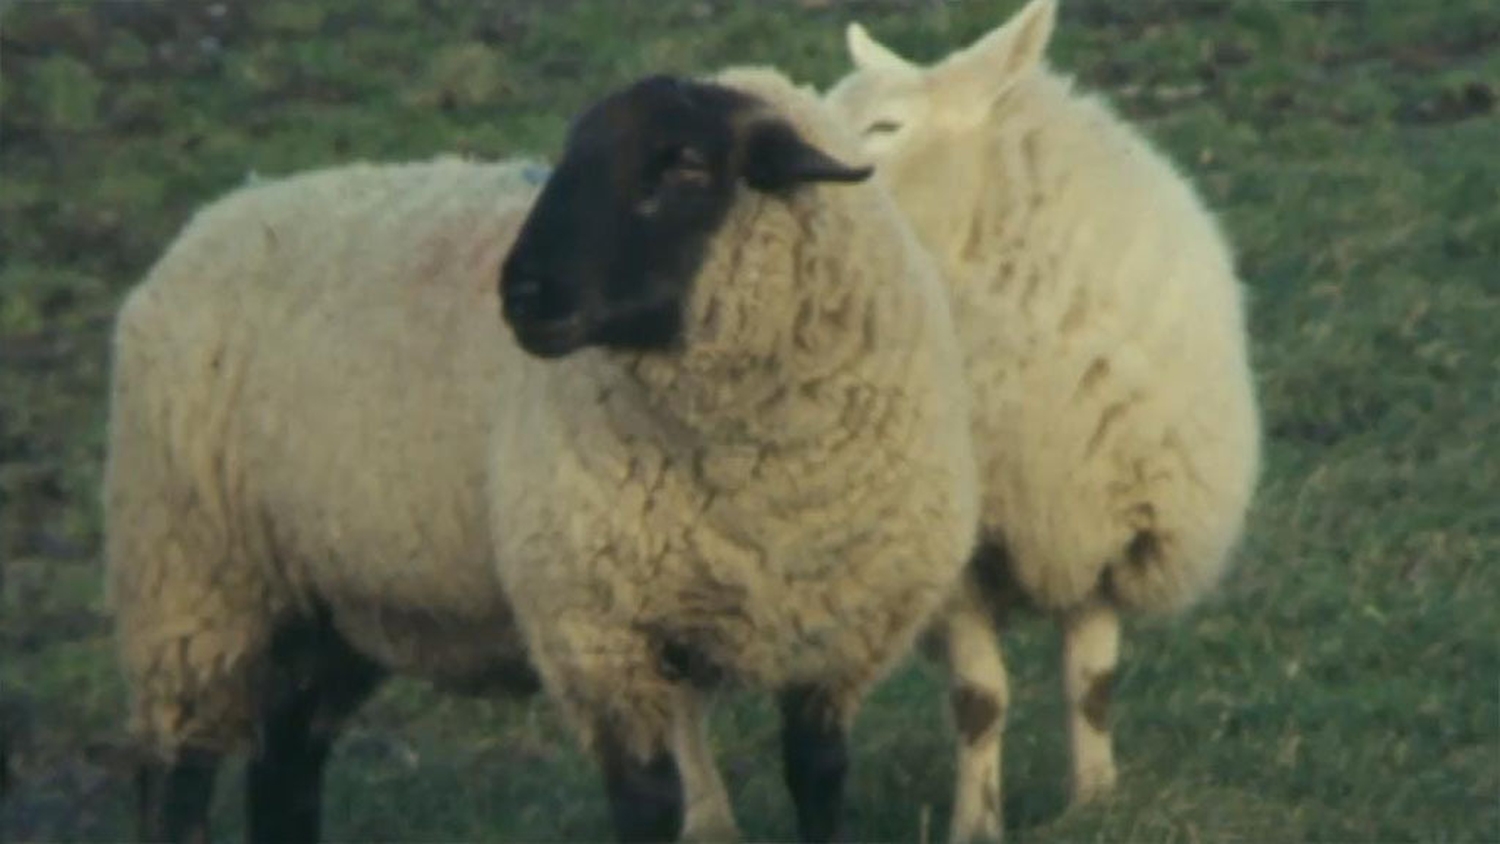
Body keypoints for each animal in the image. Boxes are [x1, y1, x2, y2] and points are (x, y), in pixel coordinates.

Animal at [491, 65, 980, 842]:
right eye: (571, 157)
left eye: (686, 165)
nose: (524, 294)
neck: (746, 482)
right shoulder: (600, 638)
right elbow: (644, 802)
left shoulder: (837, 633)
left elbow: (817, 771)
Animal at [823, 1, 1263, 840]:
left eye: (888, 125)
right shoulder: (956, 558)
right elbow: (979, 700)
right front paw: (976, 823)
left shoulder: (1103, 519)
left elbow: (1092, 681)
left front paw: (1096, 800)